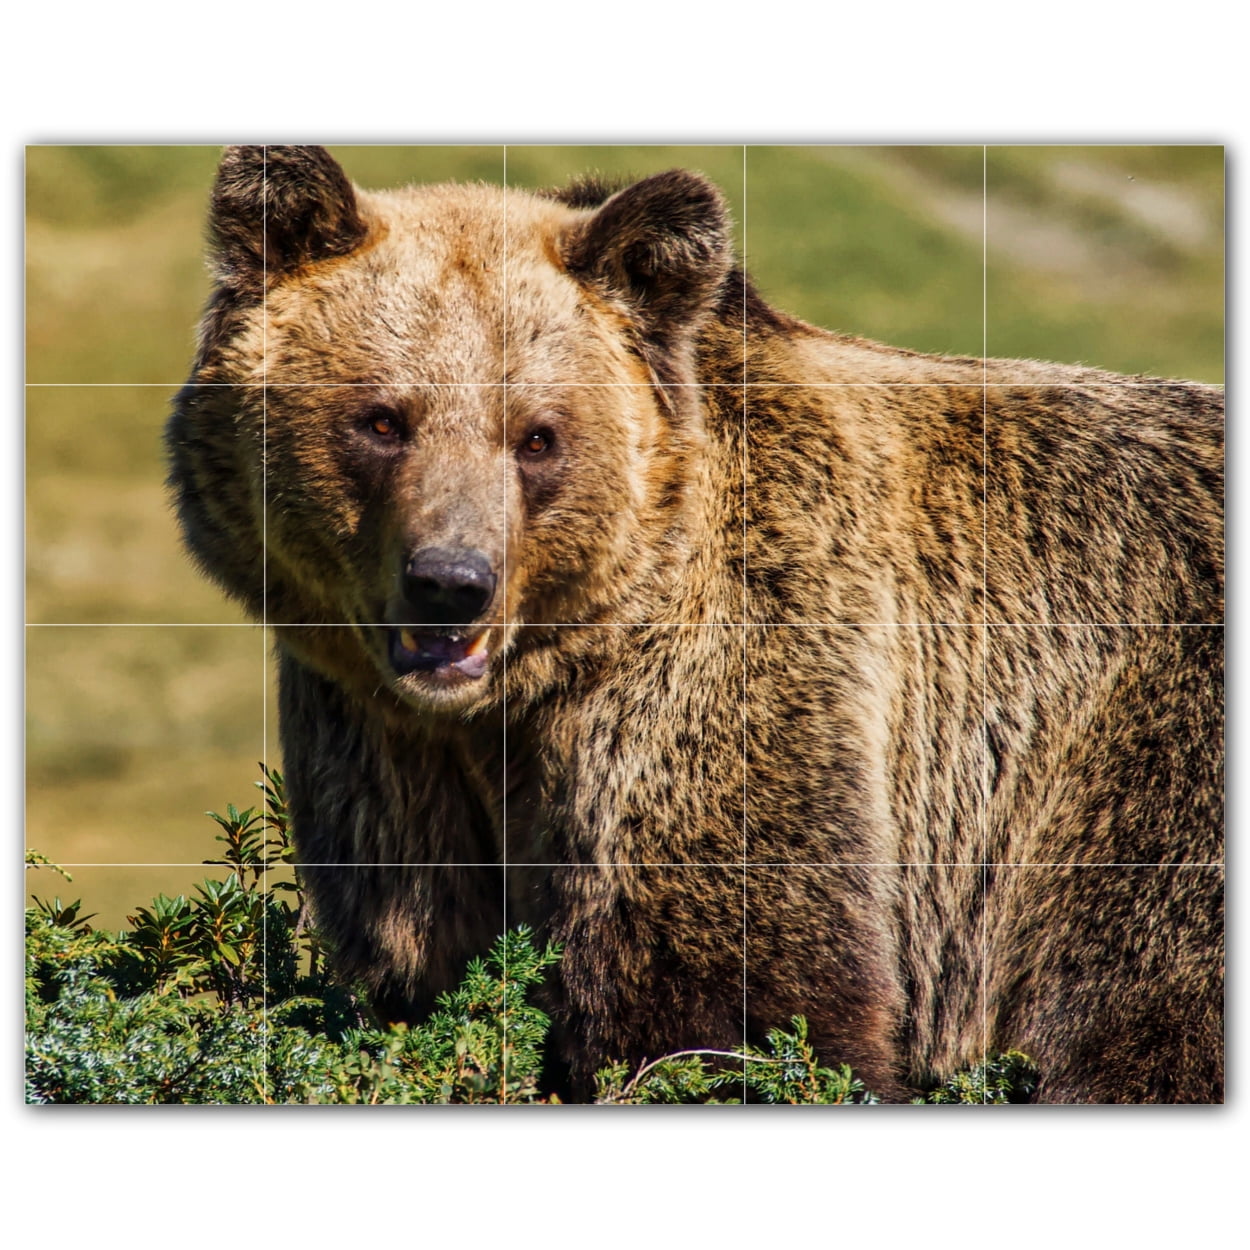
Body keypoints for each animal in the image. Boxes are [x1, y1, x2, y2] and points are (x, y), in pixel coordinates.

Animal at [167, 145, 1224, 1103]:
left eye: (538, 436)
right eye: (383, 420)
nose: (451, 582)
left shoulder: (723, 686)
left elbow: (717, 991)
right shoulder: (379, 746)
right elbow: (417, 950)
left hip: (1130, 773)